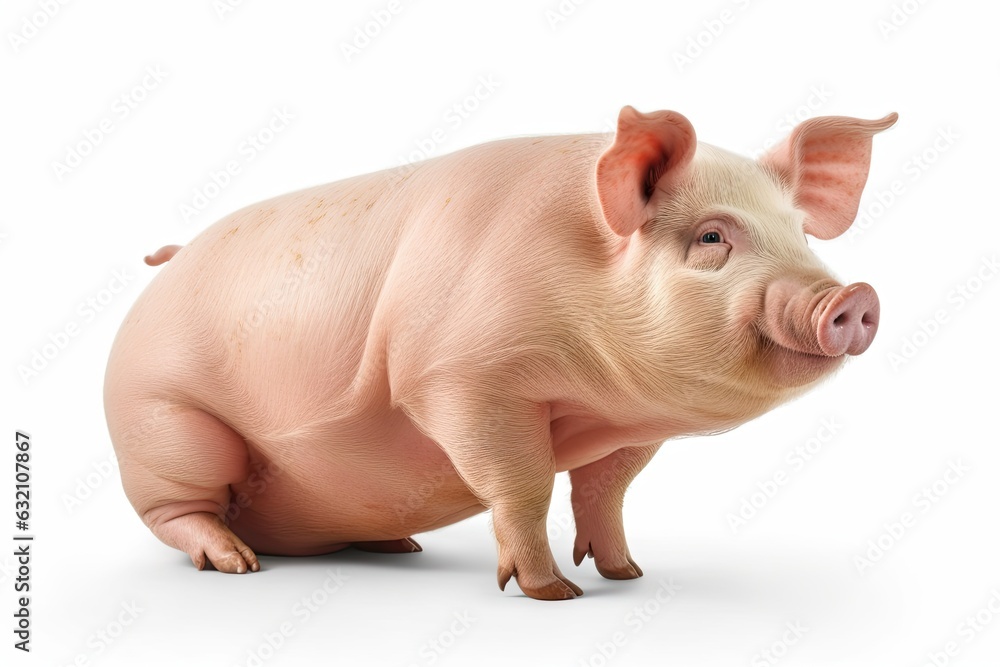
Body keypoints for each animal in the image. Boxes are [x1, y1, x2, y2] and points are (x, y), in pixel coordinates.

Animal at [104, 106, 896, 600]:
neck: (598, 397)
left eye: (801, 233)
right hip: (162, 420)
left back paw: (398, 548)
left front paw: (628, 574)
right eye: (711, 237)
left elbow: (605, 490)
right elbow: (524, 485)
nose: (853, 296)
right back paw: (236, 565)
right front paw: (554, 593)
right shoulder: (461, 379)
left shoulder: (632, 428)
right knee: (177, 509)